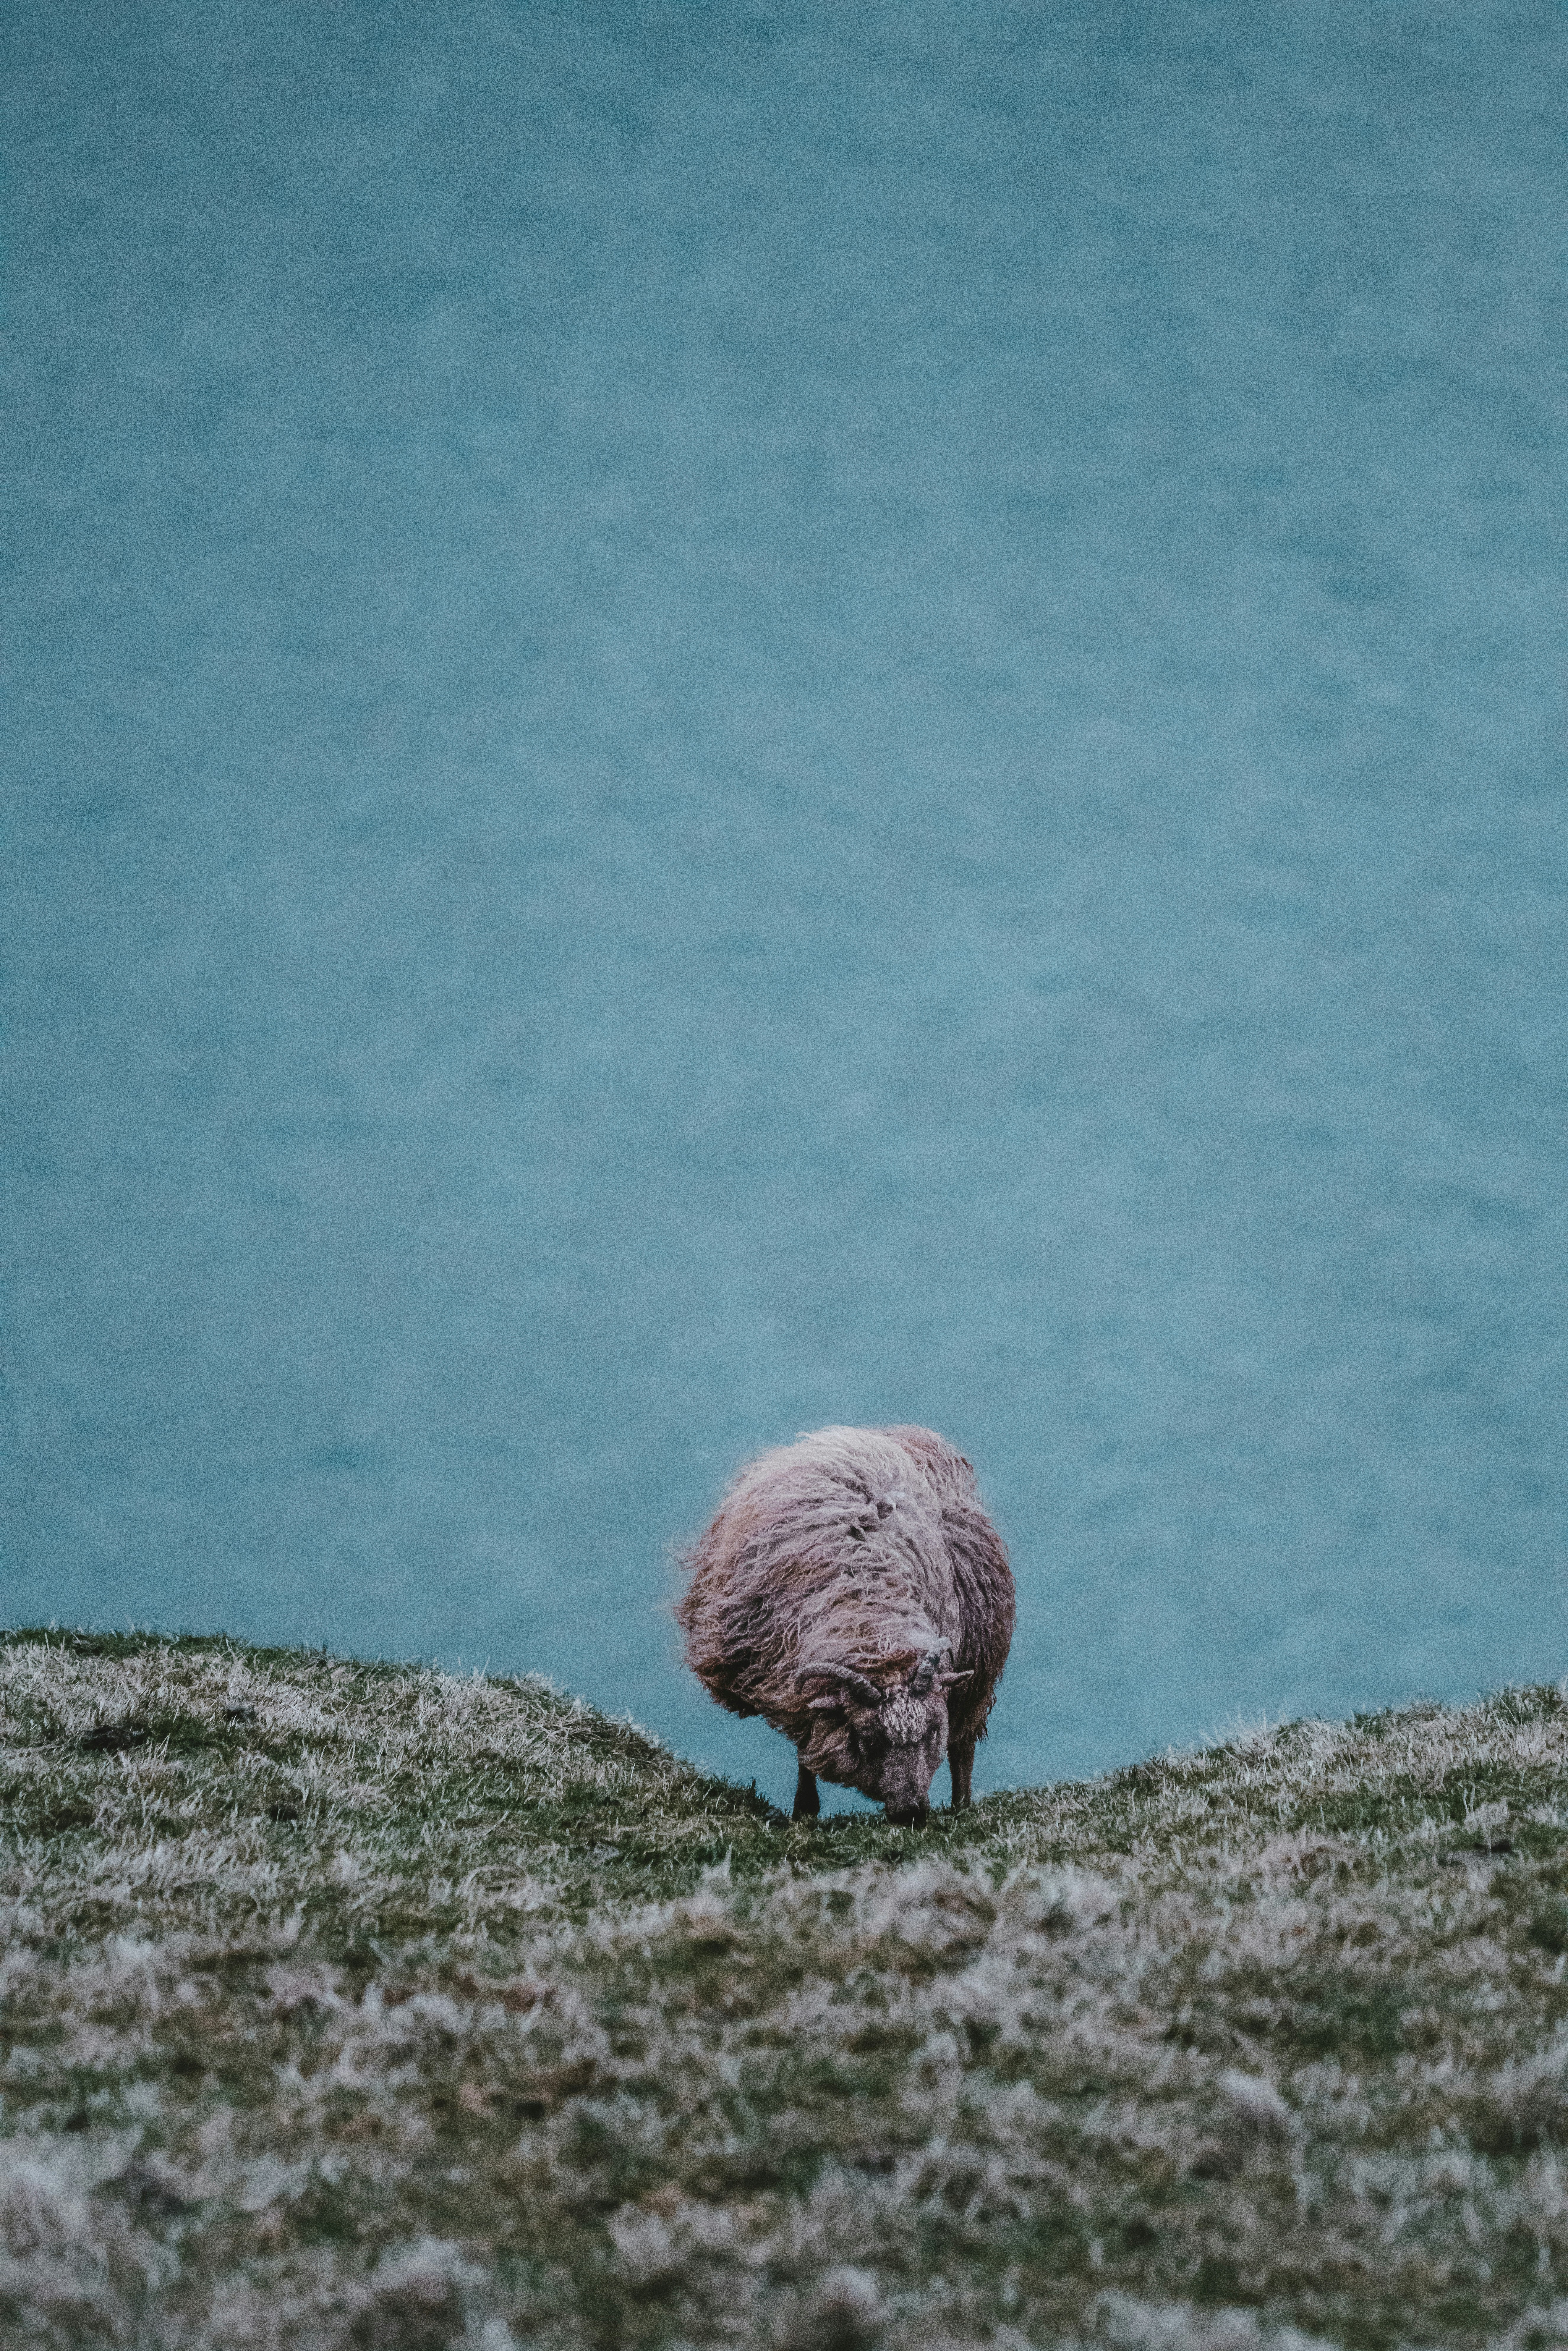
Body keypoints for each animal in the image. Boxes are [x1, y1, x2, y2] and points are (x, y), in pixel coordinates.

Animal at [675, 1424, 1015, 1826]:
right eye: (869, 1741)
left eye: (932, 1730)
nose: (912, 1814)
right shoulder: (792, 1682)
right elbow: (808, 1745)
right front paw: (804, 1811)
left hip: (979, 1670)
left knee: (964, 1747)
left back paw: (962, 1803)